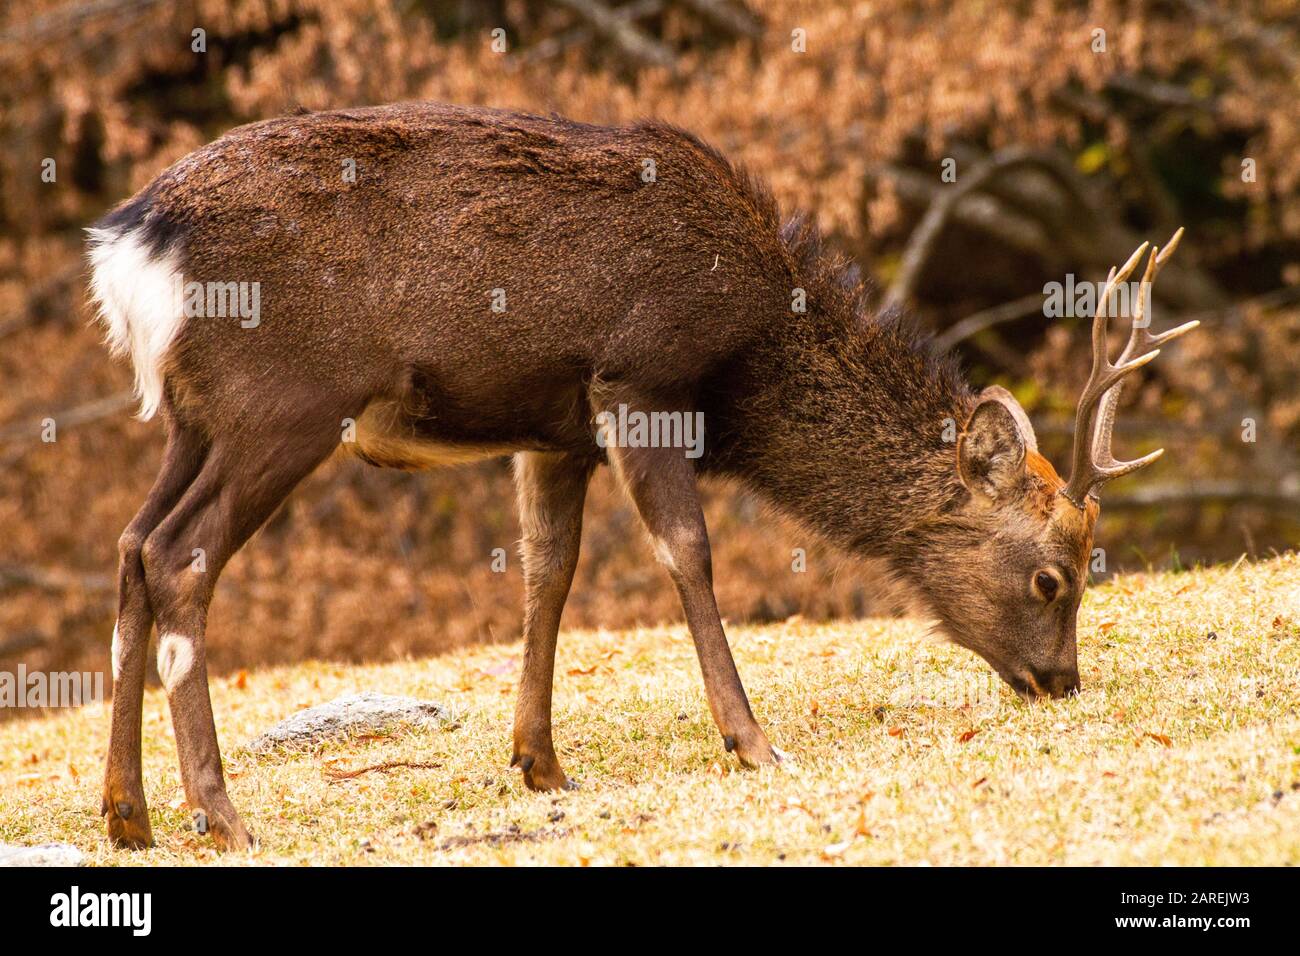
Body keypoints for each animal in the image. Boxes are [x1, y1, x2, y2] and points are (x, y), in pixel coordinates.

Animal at [86, 102, 1196, 850]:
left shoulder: (553, 430)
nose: (1061, 681)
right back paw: (220, 811)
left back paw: (127, 811)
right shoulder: (639, 374)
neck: (748, 356)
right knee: (182, 555)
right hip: (285, 398)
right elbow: (686, 551)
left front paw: (538, 760)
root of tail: (129, 243)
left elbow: (548, 571)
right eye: (1052, 576)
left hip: (192, 417)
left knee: (133, 543)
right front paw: (753, 741)